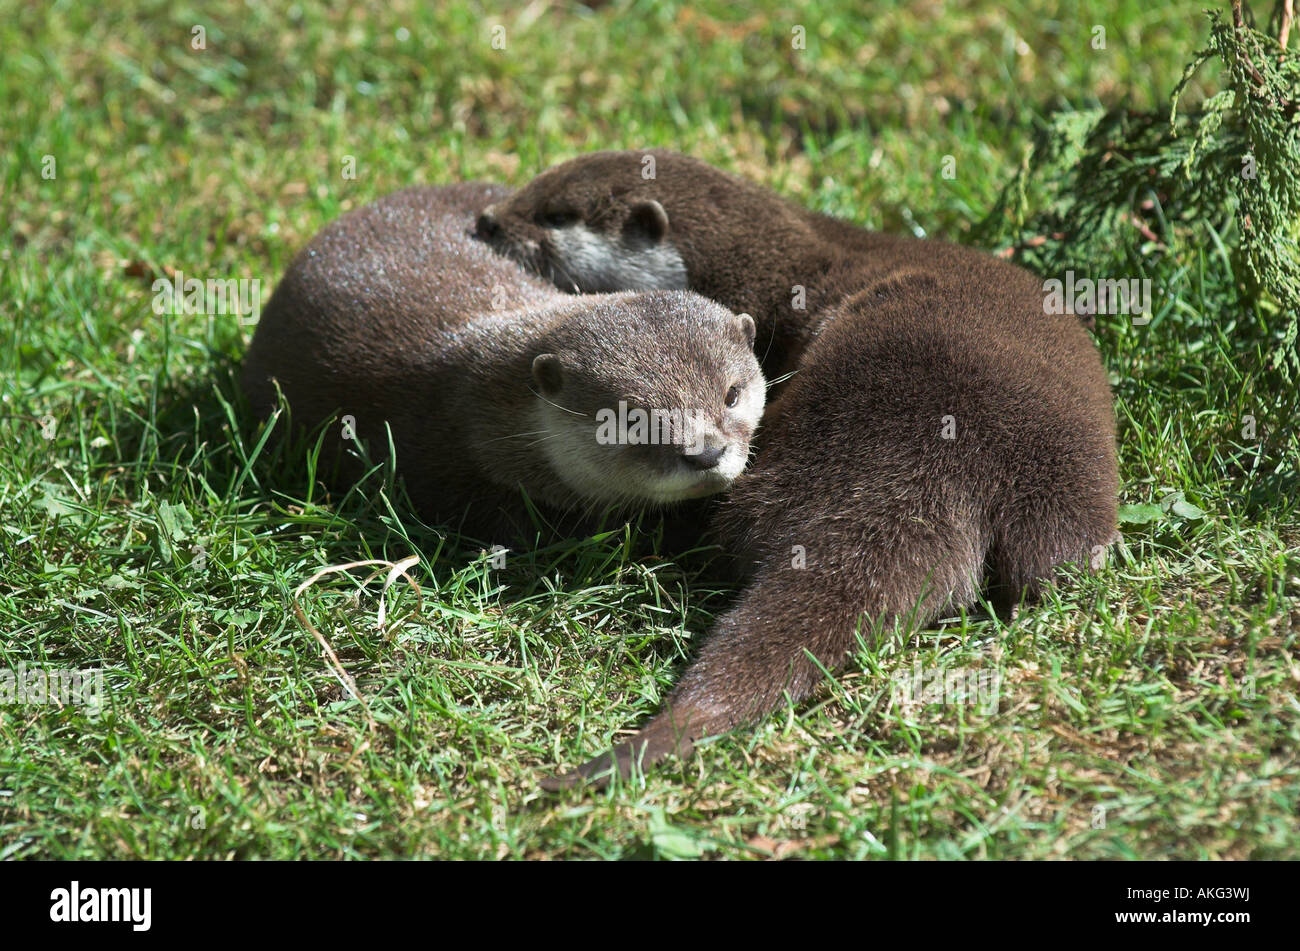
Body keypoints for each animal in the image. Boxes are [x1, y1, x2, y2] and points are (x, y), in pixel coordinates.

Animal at [480, 151, 1119, 787]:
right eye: (530, 187)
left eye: (554, 214)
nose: (486, 222)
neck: (774, 267)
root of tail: (937, 466)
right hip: (1061, 505)